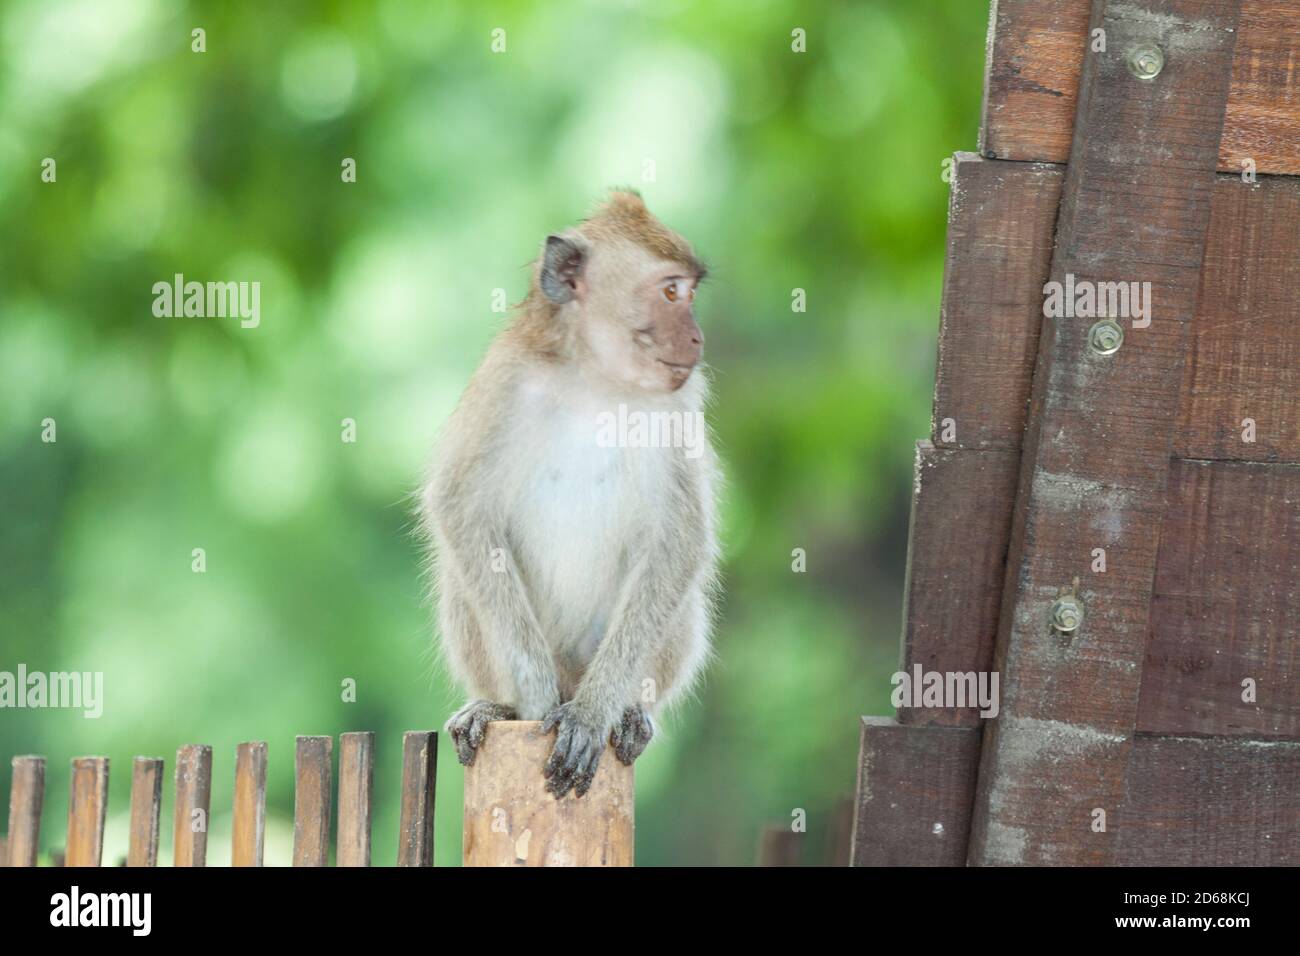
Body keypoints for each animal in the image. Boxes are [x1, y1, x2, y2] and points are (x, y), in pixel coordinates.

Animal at [419, 191, 720, 798]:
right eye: (670, 291)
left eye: (690, 294)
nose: (697, 338)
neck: (597, 380)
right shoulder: (506, 379)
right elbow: (460, 507)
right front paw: (533, 699)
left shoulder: (680, 406)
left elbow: (680, 541)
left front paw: (593, 714)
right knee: (463, 578)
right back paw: (499, 706)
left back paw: (627, 714)